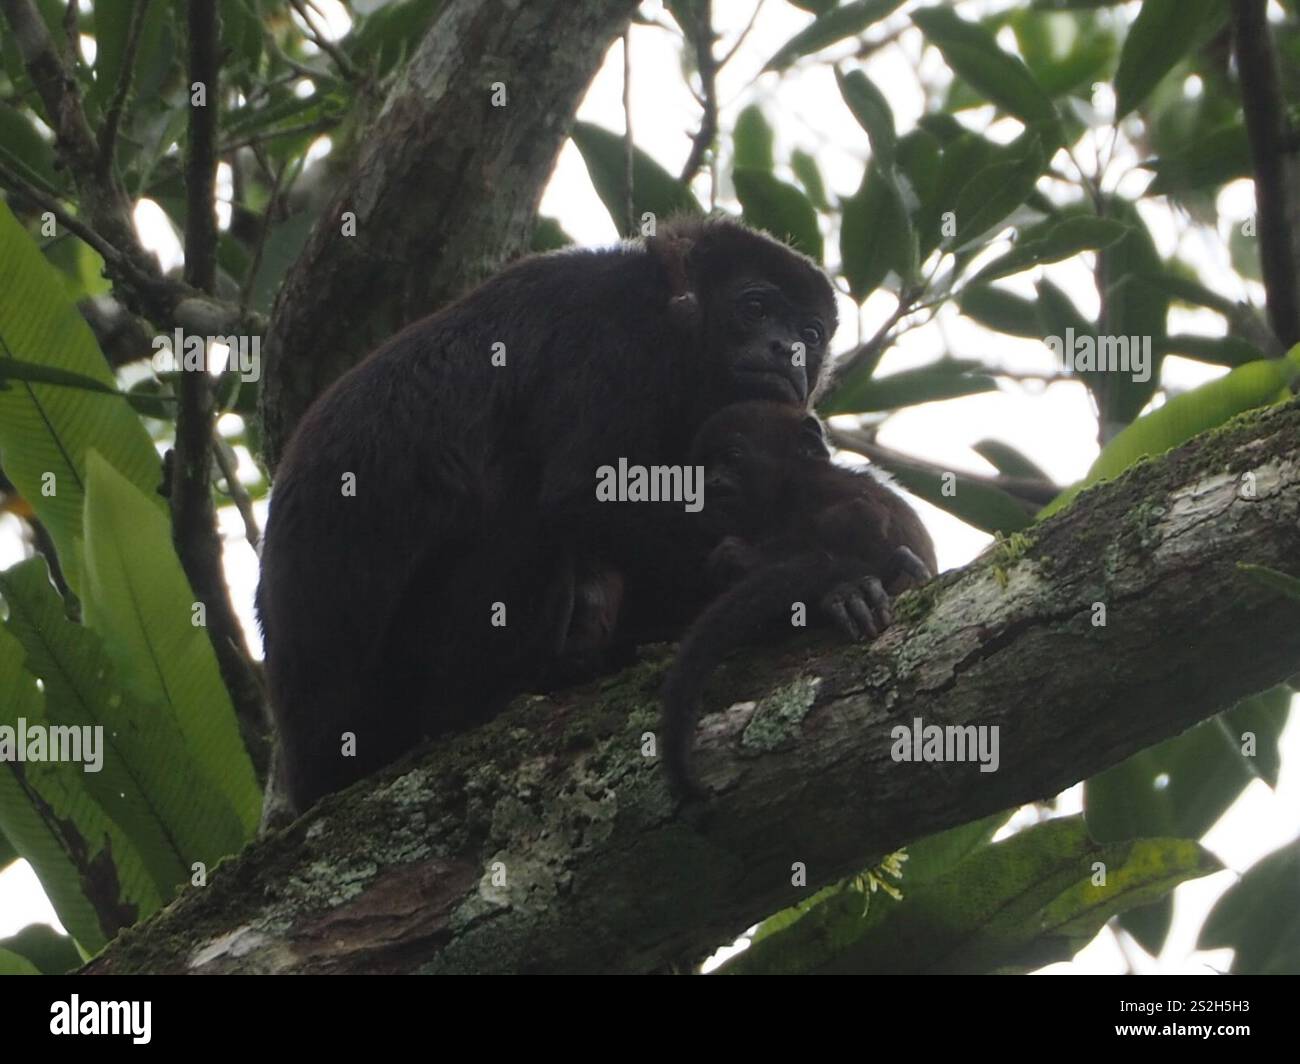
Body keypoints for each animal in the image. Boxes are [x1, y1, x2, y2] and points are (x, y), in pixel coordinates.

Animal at [256, 217, 838, 814]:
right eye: (756, 307)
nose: (789, 349)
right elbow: (586, 495)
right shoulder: (612, 333)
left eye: (811, 334)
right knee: (523, 508)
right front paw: (824, 581)